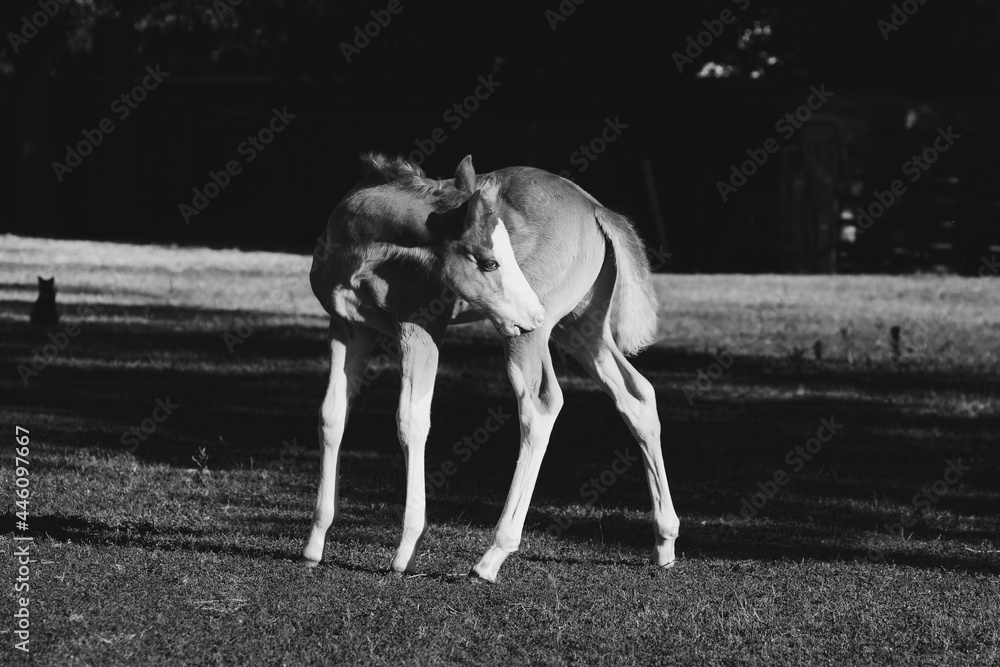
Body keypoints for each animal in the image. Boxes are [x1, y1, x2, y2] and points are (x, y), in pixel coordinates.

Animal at [303, 153, 679, 582]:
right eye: (489, 262)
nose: (534, 313)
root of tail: (596, 208)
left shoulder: (421, 327)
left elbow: (411, 420)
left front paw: (407, 550)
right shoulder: (348, 328)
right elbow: (332, 416)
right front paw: (314, 543)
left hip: (526, 333)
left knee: (540, 405)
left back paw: (492, 556)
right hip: (580, 328)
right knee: (637, 396)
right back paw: (665, 542)